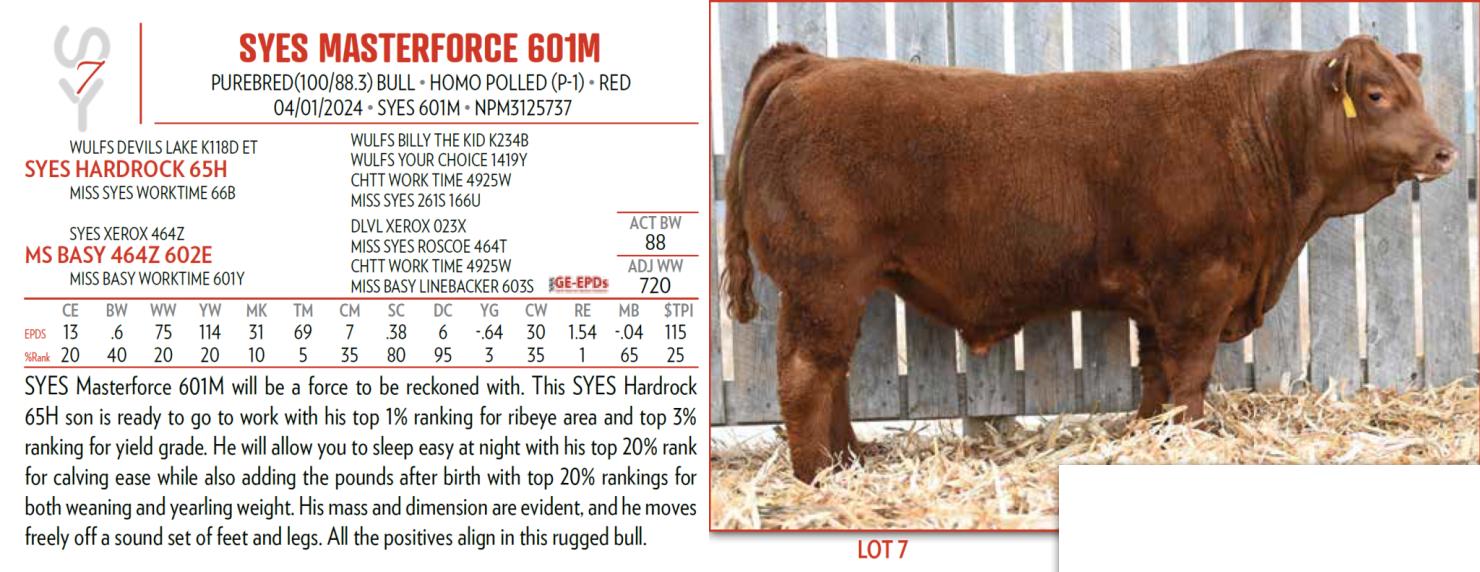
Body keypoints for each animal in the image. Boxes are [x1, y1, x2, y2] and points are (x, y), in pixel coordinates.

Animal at [720, 36, 1456, 483]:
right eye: (1378, 95)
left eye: (1416, 93)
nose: (1445, 150)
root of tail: (810, 63)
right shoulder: (1198, 283)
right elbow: (1190, 372)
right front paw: (1194, 434)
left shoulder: (1159, 294)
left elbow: (1156, 372)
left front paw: (1153, 433)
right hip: (824, 279)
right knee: (807, 372)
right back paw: (817, 472)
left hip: (837, 288)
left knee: (834, 371)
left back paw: (851, 457)